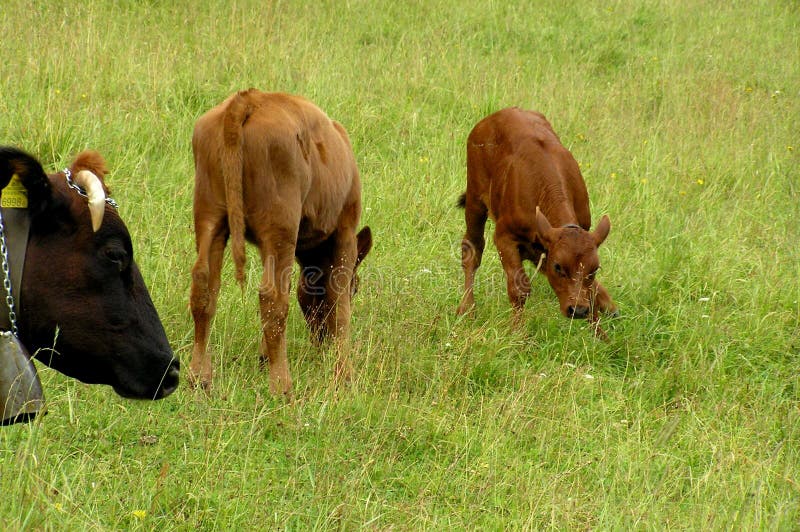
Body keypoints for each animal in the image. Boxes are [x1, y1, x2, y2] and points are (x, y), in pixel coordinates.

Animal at [189, 89, 372, 396]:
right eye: (356, 288)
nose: (320, 341)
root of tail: (248, 99)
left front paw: (264, 357)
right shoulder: (345, 230)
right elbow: (339, 305)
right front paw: (344, 376)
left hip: (210, 215)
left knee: (204, 287)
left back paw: (198, 378)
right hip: (280, 225)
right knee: (272, 297)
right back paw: (282, 387)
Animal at [456, 108, 616, 333]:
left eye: (594, 269)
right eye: (558, 266)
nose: (578, 310)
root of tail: (493, 117)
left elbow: (590, 292)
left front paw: (601, 335)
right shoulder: (504, 236)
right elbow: (519, 287)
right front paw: (517, 332)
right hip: (475, 199)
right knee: (472, 249)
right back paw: (467, 309)